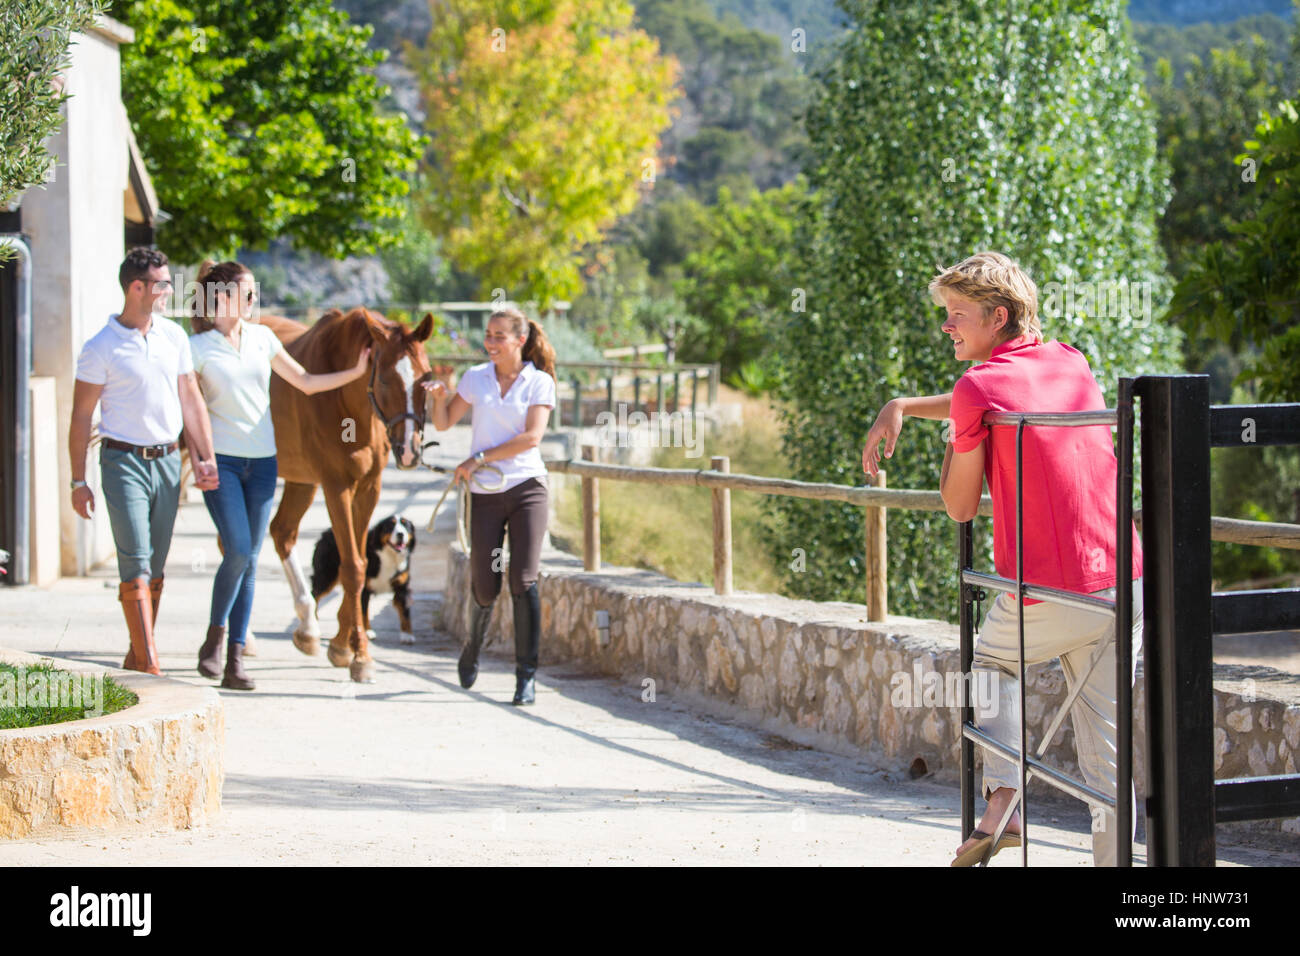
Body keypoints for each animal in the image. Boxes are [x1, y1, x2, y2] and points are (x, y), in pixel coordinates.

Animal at [264, 308, 434, 682]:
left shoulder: (369, 487)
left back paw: (307, 628)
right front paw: (357, 655)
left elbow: (355, 562)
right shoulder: (335, 484)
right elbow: (353, 567)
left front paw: (345, 646)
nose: (409, 452)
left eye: (426, 379)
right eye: (383, 380)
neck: (348, 402)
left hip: (300, 480)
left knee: (281, 532)